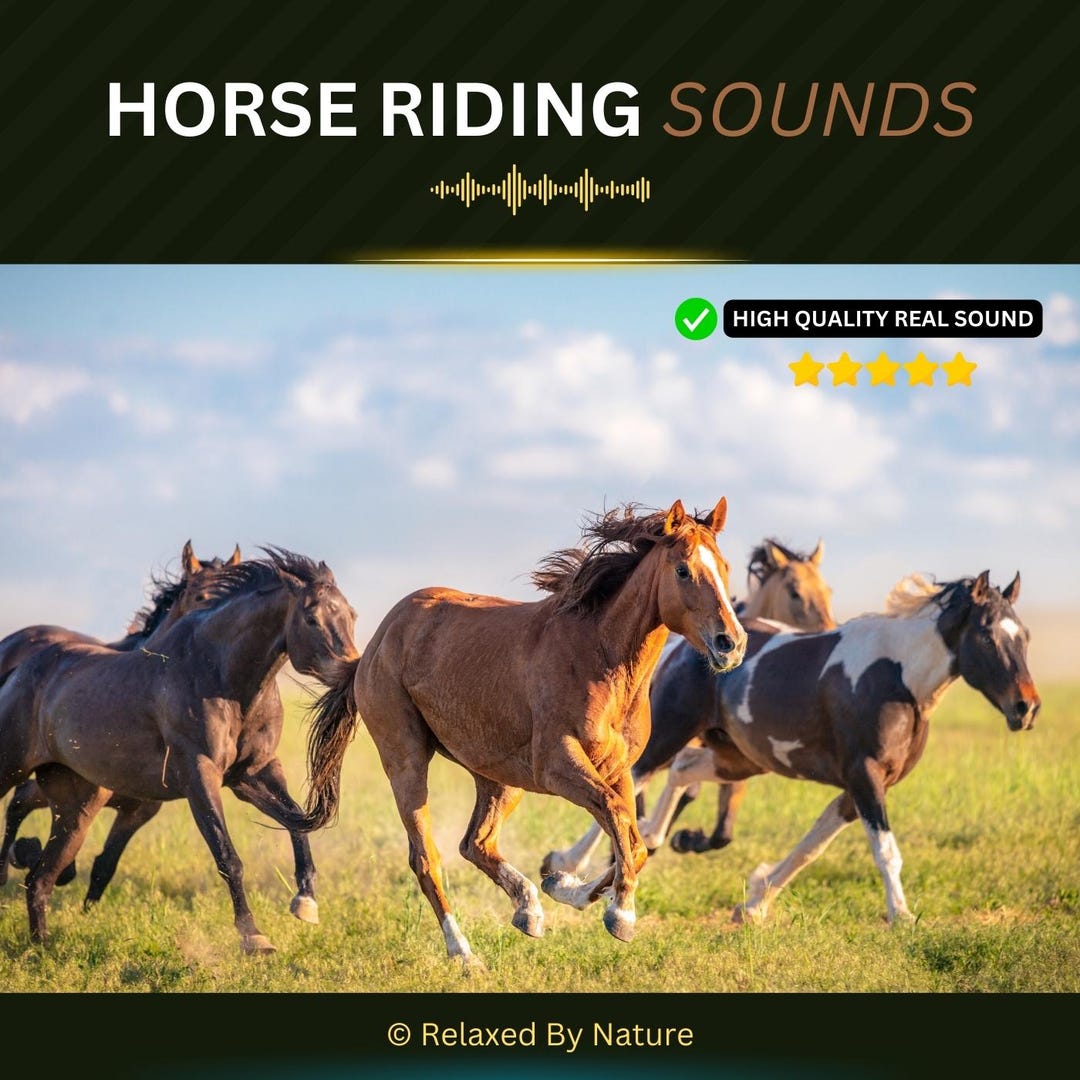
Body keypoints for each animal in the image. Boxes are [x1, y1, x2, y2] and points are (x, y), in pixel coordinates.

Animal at [297, 499, 747, 965]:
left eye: (725, 566)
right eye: (683, 570)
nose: (731, 643)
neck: (600, 659)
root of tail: (375, 644)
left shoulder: (618, 768)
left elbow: (632, 838)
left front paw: (565, 886)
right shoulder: (557, 765)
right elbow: (619, 820)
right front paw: (619, 914)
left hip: (499, 778)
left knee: (475, 843)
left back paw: (528, 909)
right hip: (406, 762)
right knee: (426, 859)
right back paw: (464, 953)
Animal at [542, 537, 836, 878]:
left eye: (827, 591)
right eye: (795, 592)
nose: (829, 630)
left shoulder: (731, 754)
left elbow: (720, 828)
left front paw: (684, 838)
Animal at [639, 571, 1040, 925]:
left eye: (1025, 636)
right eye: (987, 637)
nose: (1026, 707)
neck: (898, 680)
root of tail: (681, 646)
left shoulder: (859, 787)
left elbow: (810, 848)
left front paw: (753, 905)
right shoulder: (865, 776)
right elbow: (885, 852)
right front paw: (901, 916)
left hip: (739, 758)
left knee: (682, 771)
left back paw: (654, 837)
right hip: (669, 734)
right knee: (637, 778)